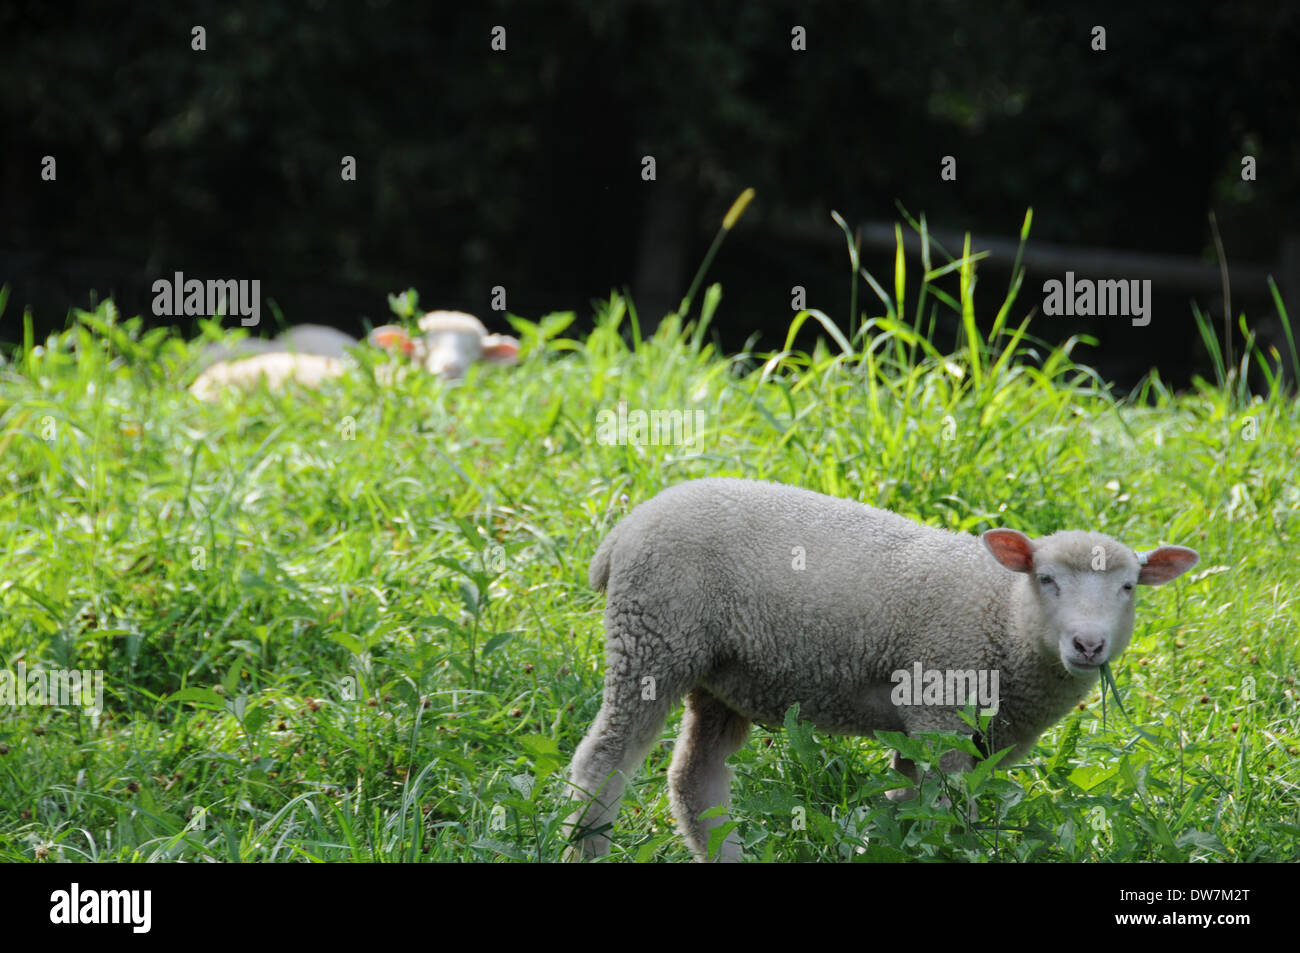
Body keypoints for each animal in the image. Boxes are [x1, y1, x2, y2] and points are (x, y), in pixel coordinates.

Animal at [564, 477, 1198, 861]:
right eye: (1046, 580)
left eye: (1128, 587)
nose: (1089, 644)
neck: (1005, 618)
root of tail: (627, 527)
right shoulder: (940, 708)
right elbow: (946, 814)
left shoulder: (982, 737)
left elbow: (911, 804)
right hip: (653, 639)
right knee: (602, 764)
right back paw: (584, 844)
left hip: (721, 677)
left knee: (694, 781)